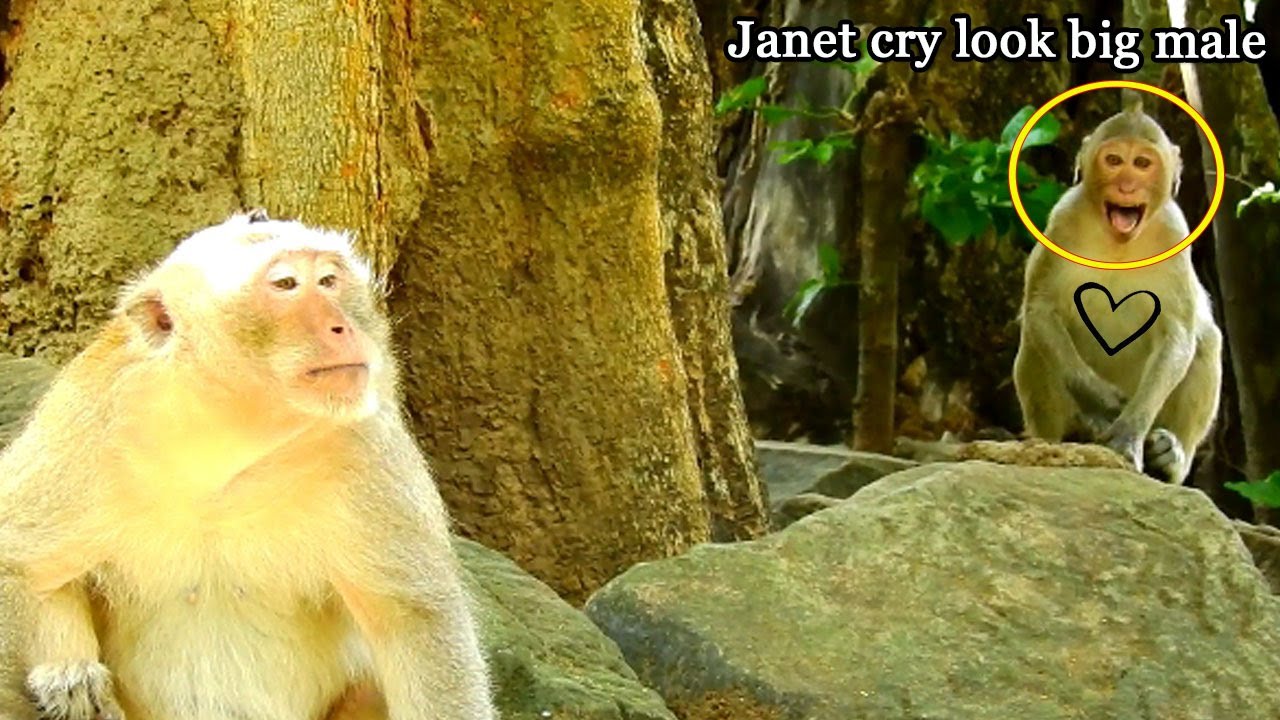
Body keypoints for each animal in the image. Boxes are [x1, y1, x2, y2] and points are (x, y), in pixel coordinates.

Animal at [0, 212, 496, 720]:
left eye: (328, 281)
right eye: (286, 284)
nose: (342, 327)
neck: (228, 440)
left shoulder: (366, 440)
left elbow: (412, 618)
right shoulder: (89, 423)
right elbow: (19, 566)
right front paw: (69, 679)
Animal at [1013, 101, 1222, 485]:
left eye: (1141, 163)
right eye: (1113, 160)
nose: (1126, 186)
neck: (1119, 243)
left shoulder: (1174, 232)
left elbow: (1178, 334)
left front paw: (1128, 432)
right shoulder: (1063, 219)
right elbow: (1041, 311)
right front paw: (1105, 406)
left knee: (1207, 339)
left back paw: (1169, 458)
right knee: (1035, 342)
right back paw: (1059, 440)